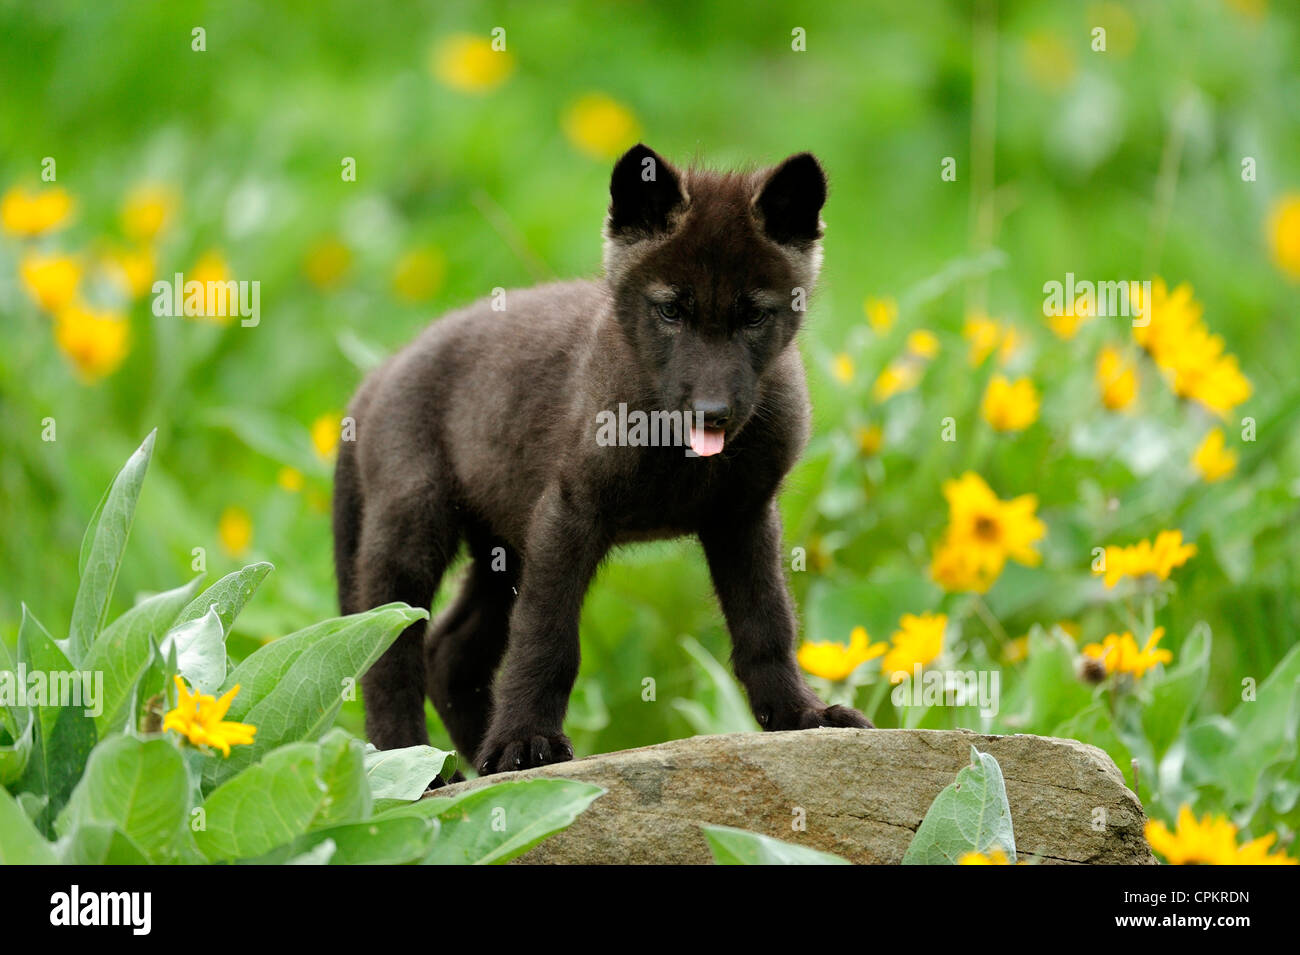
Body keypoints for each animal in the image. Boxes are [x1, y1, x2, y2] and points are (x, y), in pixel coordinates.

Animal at [333, 144, 871, 776]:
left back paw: (466, 759)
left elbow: (767, 624)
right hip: (412, 530)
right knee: (386, 649)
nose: (712, 413)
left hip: (502, 544)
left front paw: (799, 714)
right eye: (671, 310)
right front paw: (526, 744)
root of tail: (378, 374)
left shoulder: (743, 515)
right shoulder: (570, 512)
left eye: (755, 315)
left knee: (449, 651)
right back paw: (416, 770)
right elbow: (548, 639)